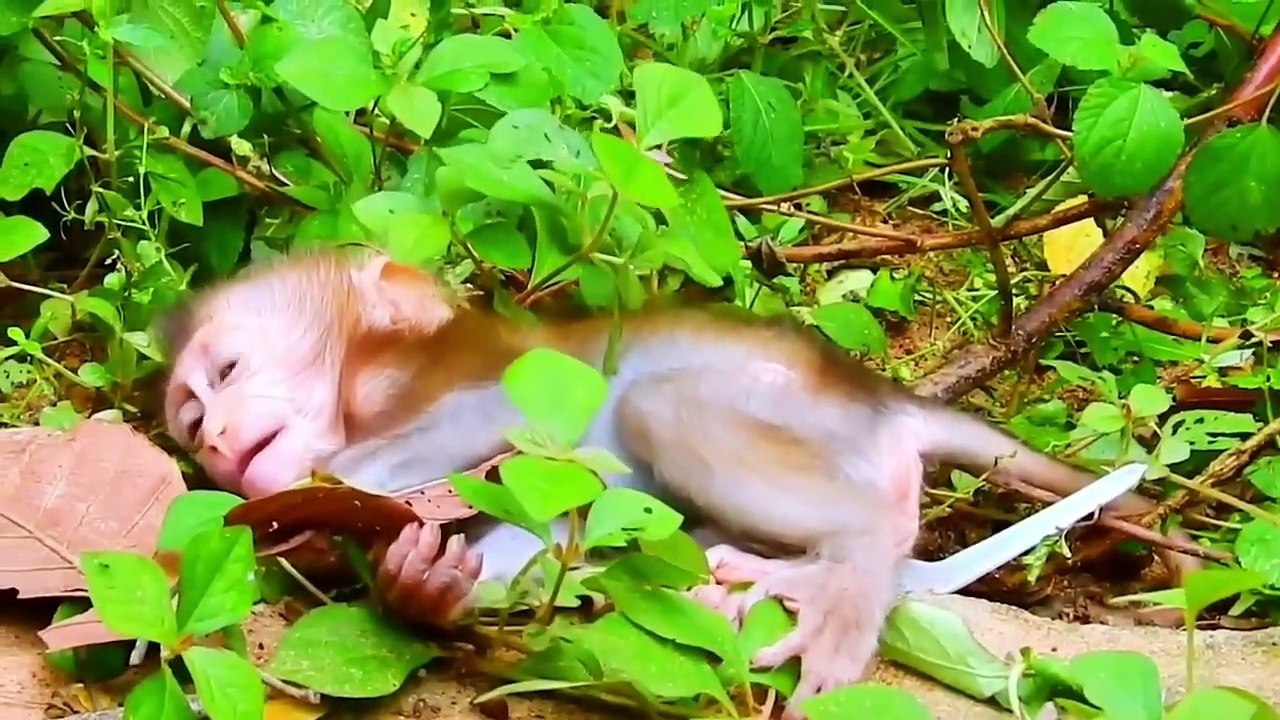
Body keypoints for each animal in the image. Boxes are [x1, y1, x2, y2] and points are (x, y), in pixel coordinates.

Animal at [161, 247, 1202, 716]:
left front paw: (336, 502)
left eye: (226, 373)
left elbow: (509, 426)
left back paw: (850, 575)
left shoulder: (454, 380)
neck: (368, 388)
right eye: (189, 421)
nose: (215, 439)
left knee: (668, 413)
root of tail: (887, 404)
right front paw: (421, 580)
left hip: (802, 422)